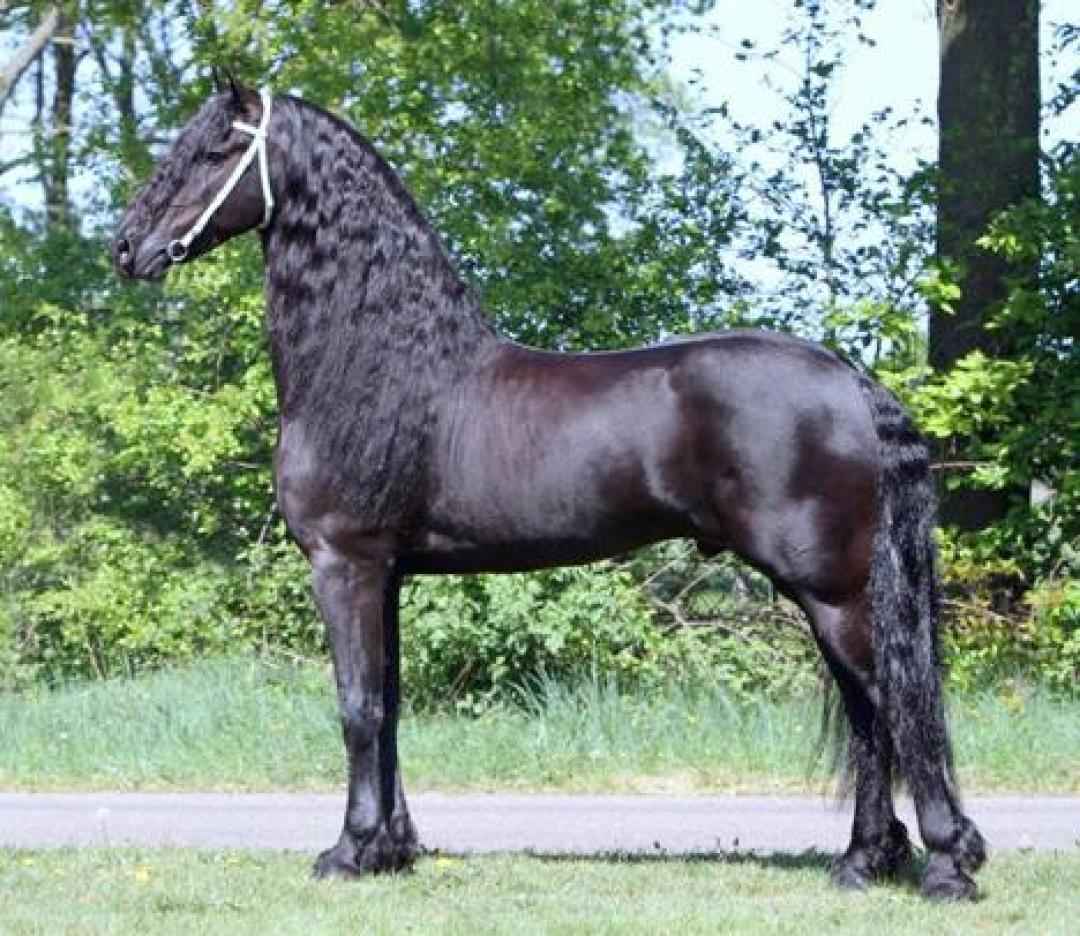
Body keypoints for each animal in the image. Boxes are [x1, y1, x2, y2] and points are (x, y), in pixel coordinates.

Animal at [112, 78, 986, 900]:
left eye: (218, 149)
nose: (127, 249)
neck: (383, 366)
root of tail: (853, 382)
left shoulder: (344, 564)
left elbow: (357, 709)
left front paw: (348, 852)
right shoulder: (387, 575)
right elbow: (388, 707)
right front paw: (393, 848)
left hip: (833, 592)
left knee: (897, 704)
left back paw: (946, 866)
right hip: (836, 596)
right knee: (872, 717)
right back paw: (863, 862)